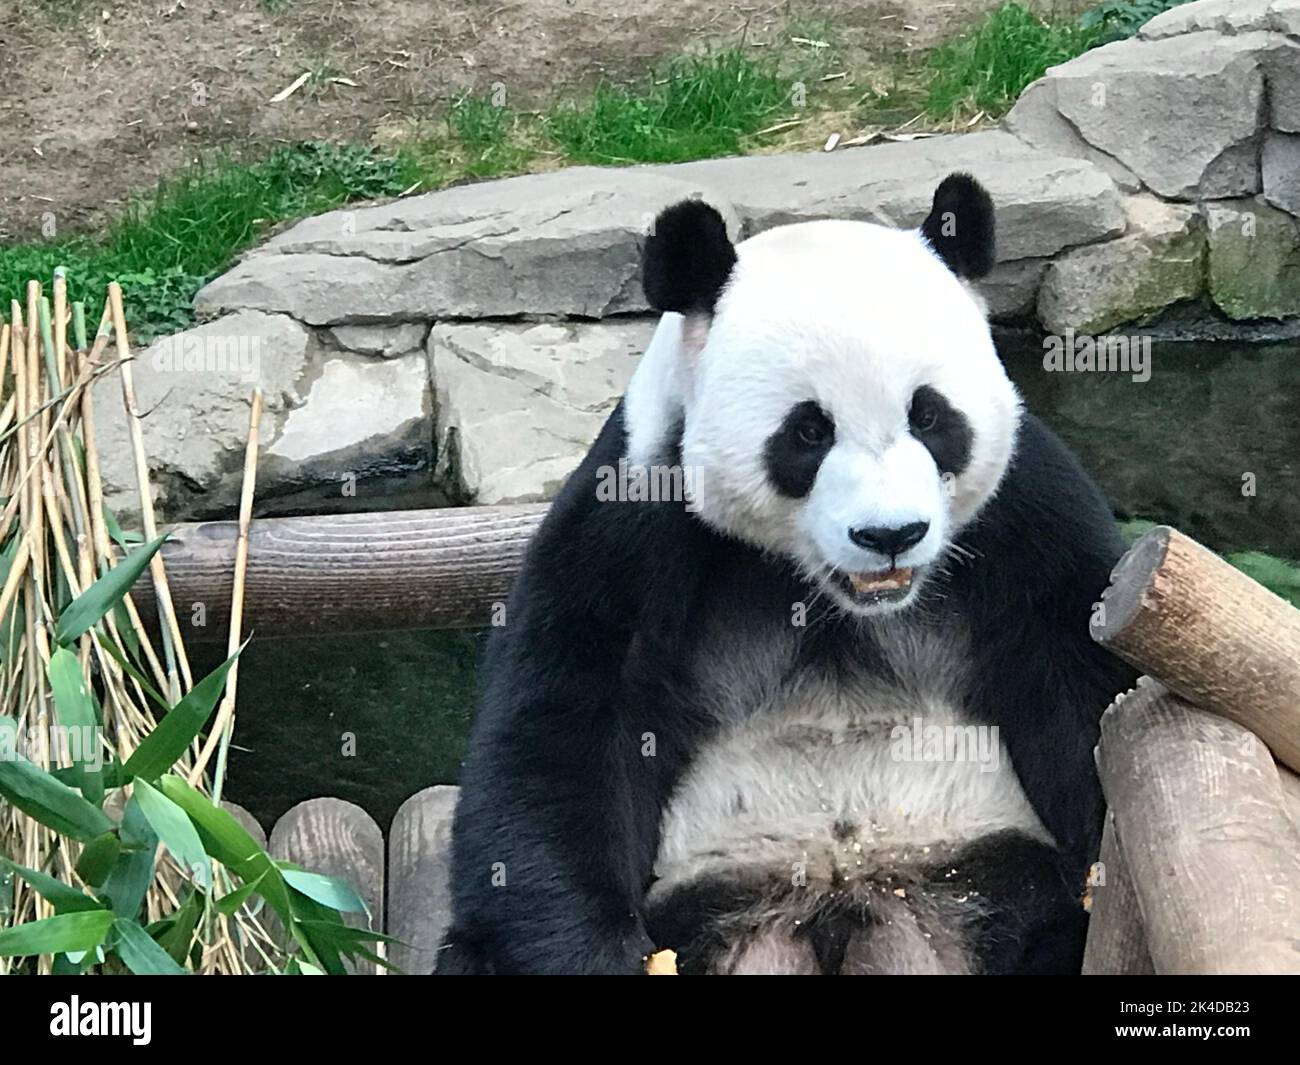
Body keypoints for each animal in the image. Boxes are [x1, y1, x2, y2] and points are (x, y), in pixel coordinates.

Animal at [436, 172, 1137, 975]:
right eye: (808, 431)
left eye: (930, 417)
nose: (890, 535)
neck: (831, 595)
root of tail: (847, 901)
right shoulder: (632, 513)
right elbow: (563, 729)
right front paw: (599, 952)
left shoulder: (1025, 511)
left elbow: (1084, 670)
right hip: (714, 893)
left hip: (987, 869)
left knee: (1048, 921)